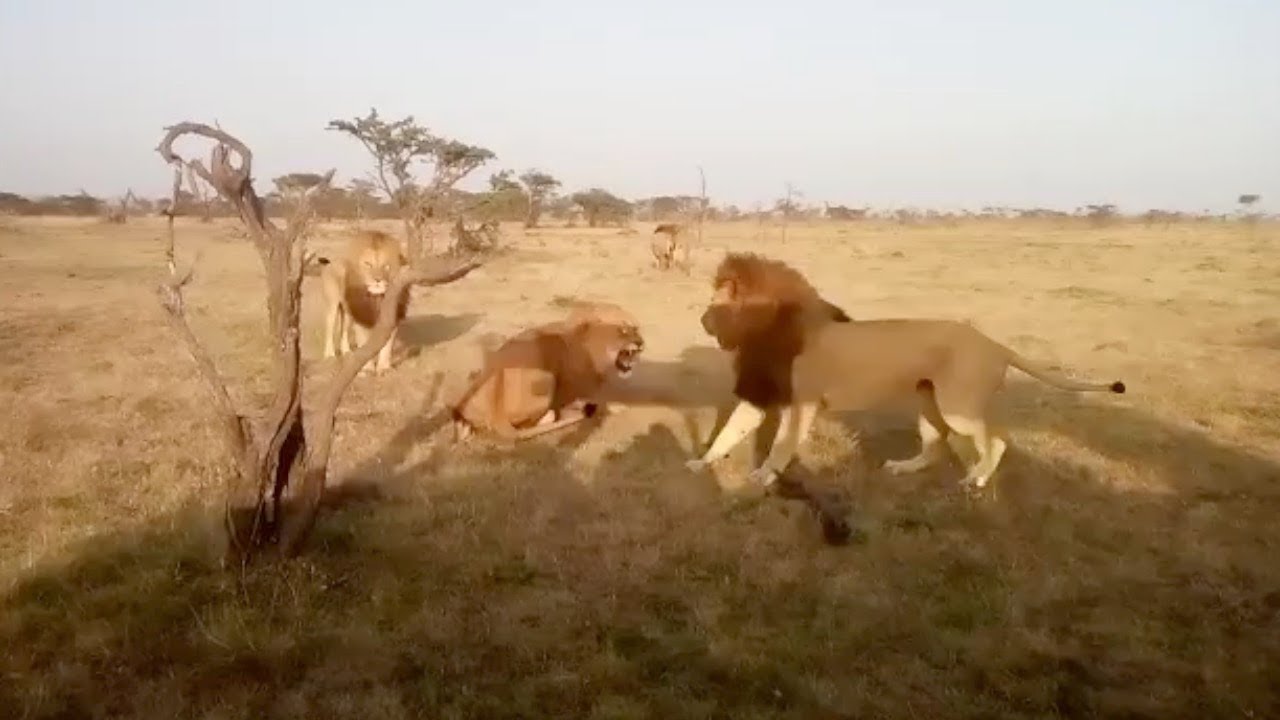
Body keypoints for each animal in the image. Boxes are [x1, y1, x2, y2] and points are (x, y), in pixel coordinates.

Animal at [318, 230, 410, 374]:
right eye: (368, 264)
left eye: (387, 266)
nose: (377, 280)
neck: (377, 298)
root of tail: (331, 262)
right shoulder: (362, 317)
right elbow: (363, 341)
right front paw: (367, 369)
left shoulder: (392, 319)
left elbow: (387, 346)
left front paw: (384, 368)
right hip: (333, 305)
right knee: (329, 327)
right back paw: (329, 355)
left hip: (348, 312)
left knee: (344, 330)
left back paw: (347, 352)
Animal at [448, 301, 645, 441]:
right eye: (623, 330)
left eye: (636, 328)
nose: (641, 344)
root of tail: (496, 408)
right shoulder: (573, 387)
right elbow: (600, 398)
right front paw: (616, 405)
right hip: (545, 376)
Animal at [685, 252, 1126, 490]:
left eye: (718, 303)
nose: (703, 319)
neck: (767, 329)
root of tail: (993, 344)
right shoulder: (759, 394)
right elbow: (727, 433)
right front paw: (700, 464)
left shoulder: (802, 404)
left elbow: (780, 445)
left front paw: (763, 476)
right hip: (928, 401)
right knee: (935, 446)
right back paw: (904, 468)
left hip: (957, 406)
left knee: (997, 439)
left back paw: (977, 479)